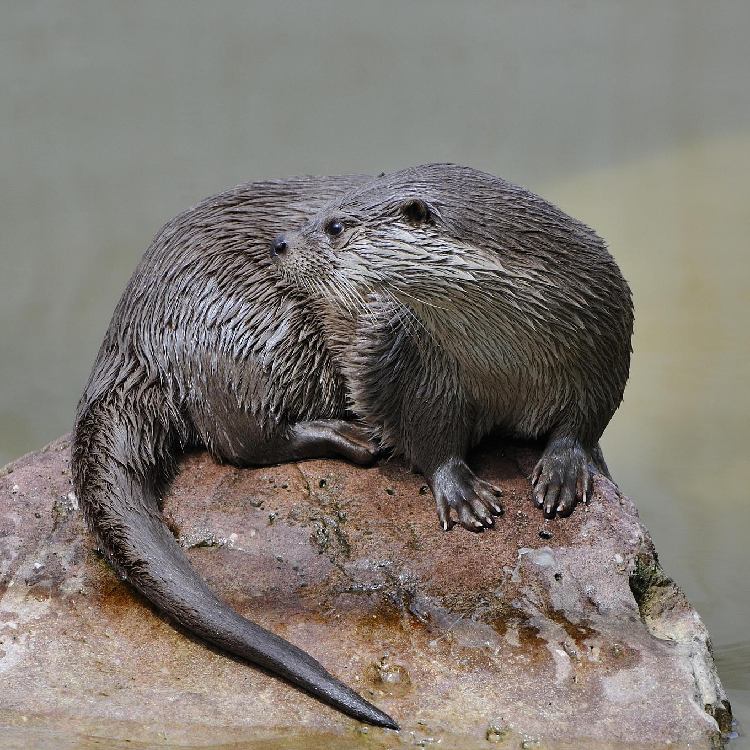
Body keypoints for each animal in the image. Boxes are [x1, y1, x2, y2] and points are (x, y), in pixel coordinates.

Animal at [272, 163, 633, 530]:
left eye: (335, 226)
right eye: (319, 212)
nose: (279, 242)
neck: (507, 364)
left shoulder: (604, 347)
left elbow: (586, 421)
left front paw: (562, 472)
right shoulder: (422, 369)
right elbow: (429, 435)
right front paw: (461, 492)